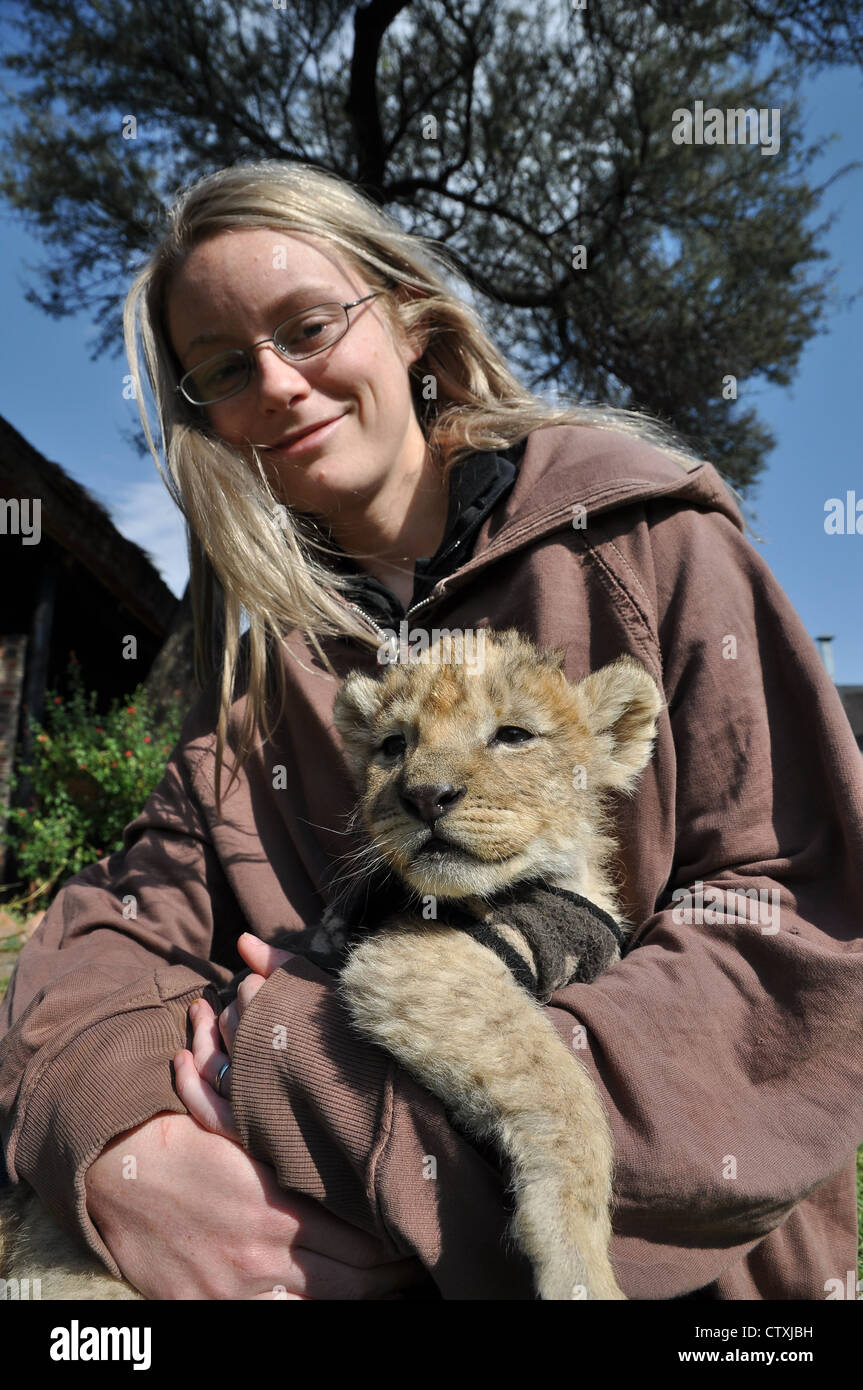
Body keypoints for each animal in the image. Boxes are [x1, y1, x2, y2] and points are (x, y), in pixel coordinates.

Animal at [0, 628, 662, 1300]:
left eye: (513, 735)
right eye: (395, 746)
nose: (425, 797)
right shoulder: (406, 961)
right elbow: (565, 1094)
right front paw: (579, 1266)